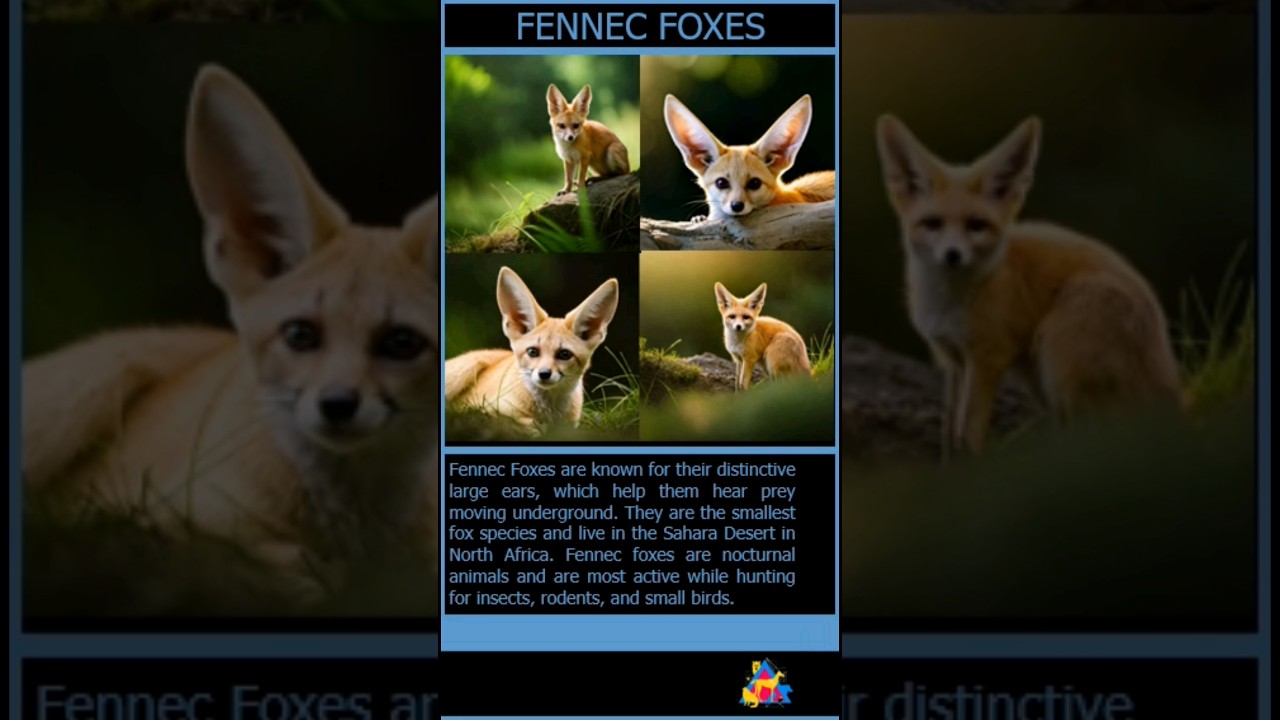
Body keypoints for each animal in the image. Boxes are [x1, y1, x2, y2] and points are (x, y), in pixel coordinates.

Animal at [20, 64, 440, 603]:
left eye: (402, 342)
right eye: (300, 335)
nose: (337, 405)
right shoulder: (167, 512)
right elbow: (295, 568)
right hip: (83, 391)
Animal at [445, 267, 619, 429]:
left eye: (564, 354)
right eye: (532, 352)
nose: (544, 374)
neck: (550, 413)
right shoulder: (490, 407)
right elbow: (525, 423)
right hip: (464, 369)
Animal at [874, 114, 1182, 459]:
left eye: (976, 226)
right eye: (932, 224)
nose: (952, 255)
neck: (951, 303)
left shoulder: (989, 356)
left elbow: (969, 433)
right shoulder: (953, 359)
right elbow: (949, 434)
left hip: (1058, 361)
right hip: (1037, 378)